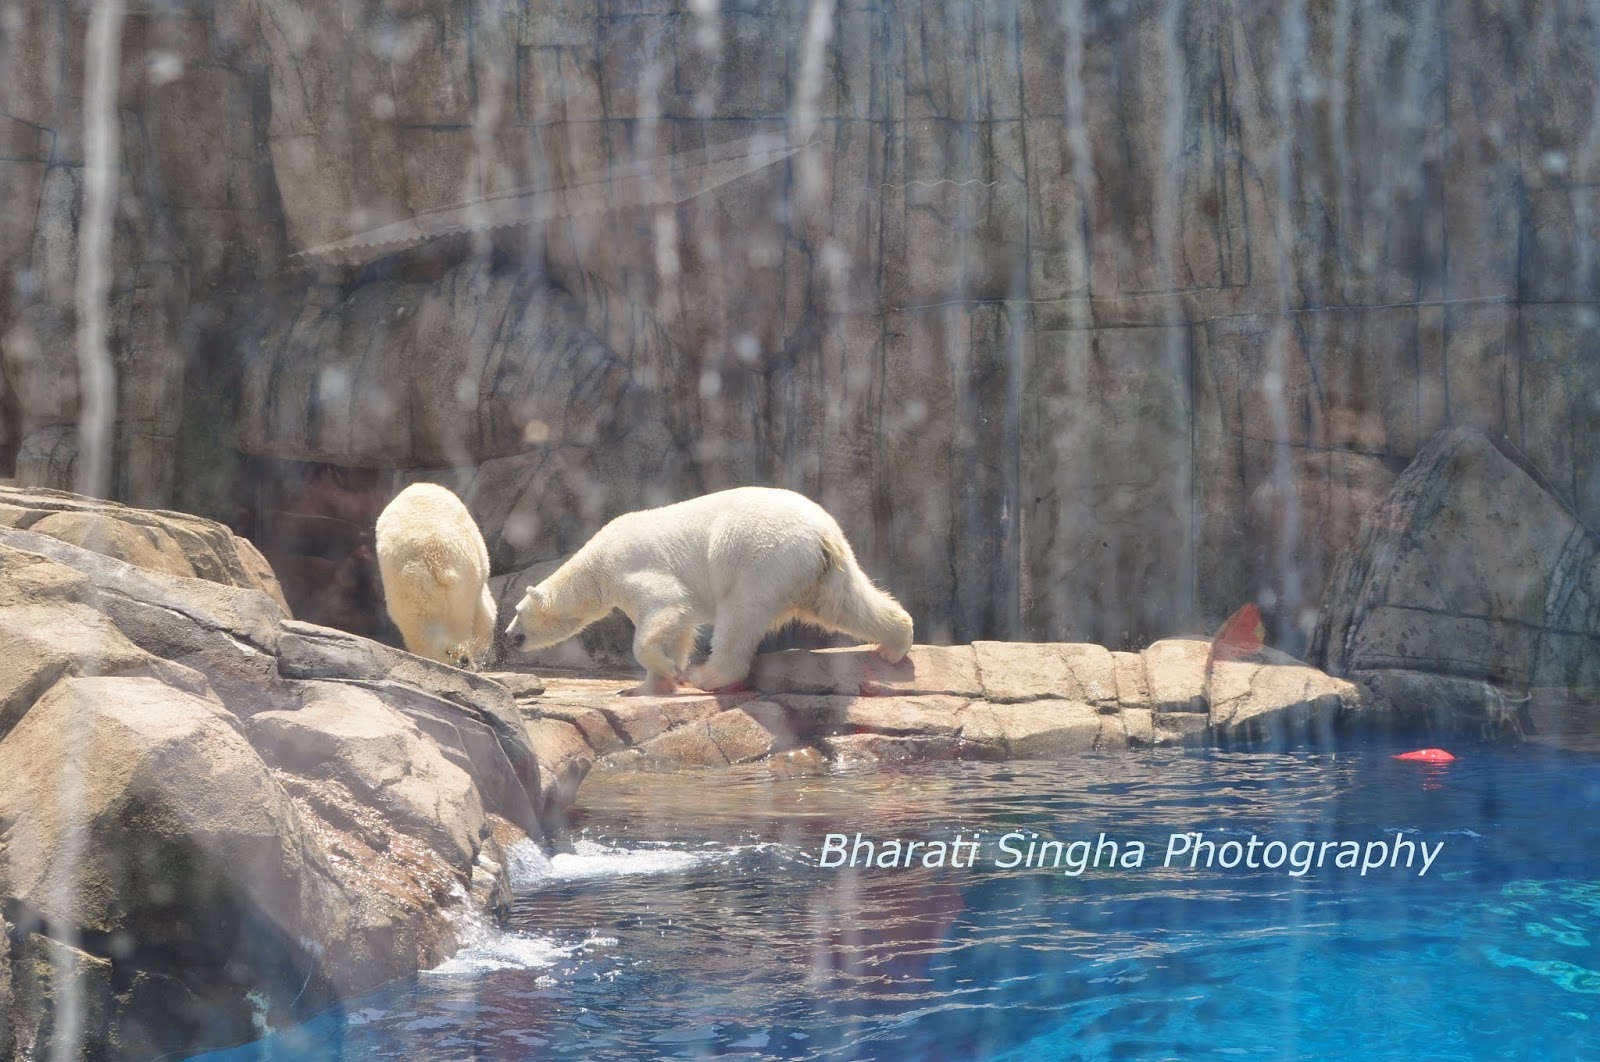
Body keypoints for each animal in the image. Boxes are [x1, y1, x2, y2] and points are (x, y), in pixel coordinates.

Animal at [504, 486, 914, 696]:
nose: (509, 637)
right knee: (846, 603)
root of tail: (821, 535)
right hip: (825, 568)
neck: (596, 563)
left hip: (759, 558)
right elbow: (678, 625)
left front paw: (673, 672)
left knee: (740, 617)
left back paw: (709, 676)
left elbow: (664, 606)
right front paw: (656, 682)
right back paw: (894, 644)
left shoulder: (633, 565)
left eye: (517, 612)